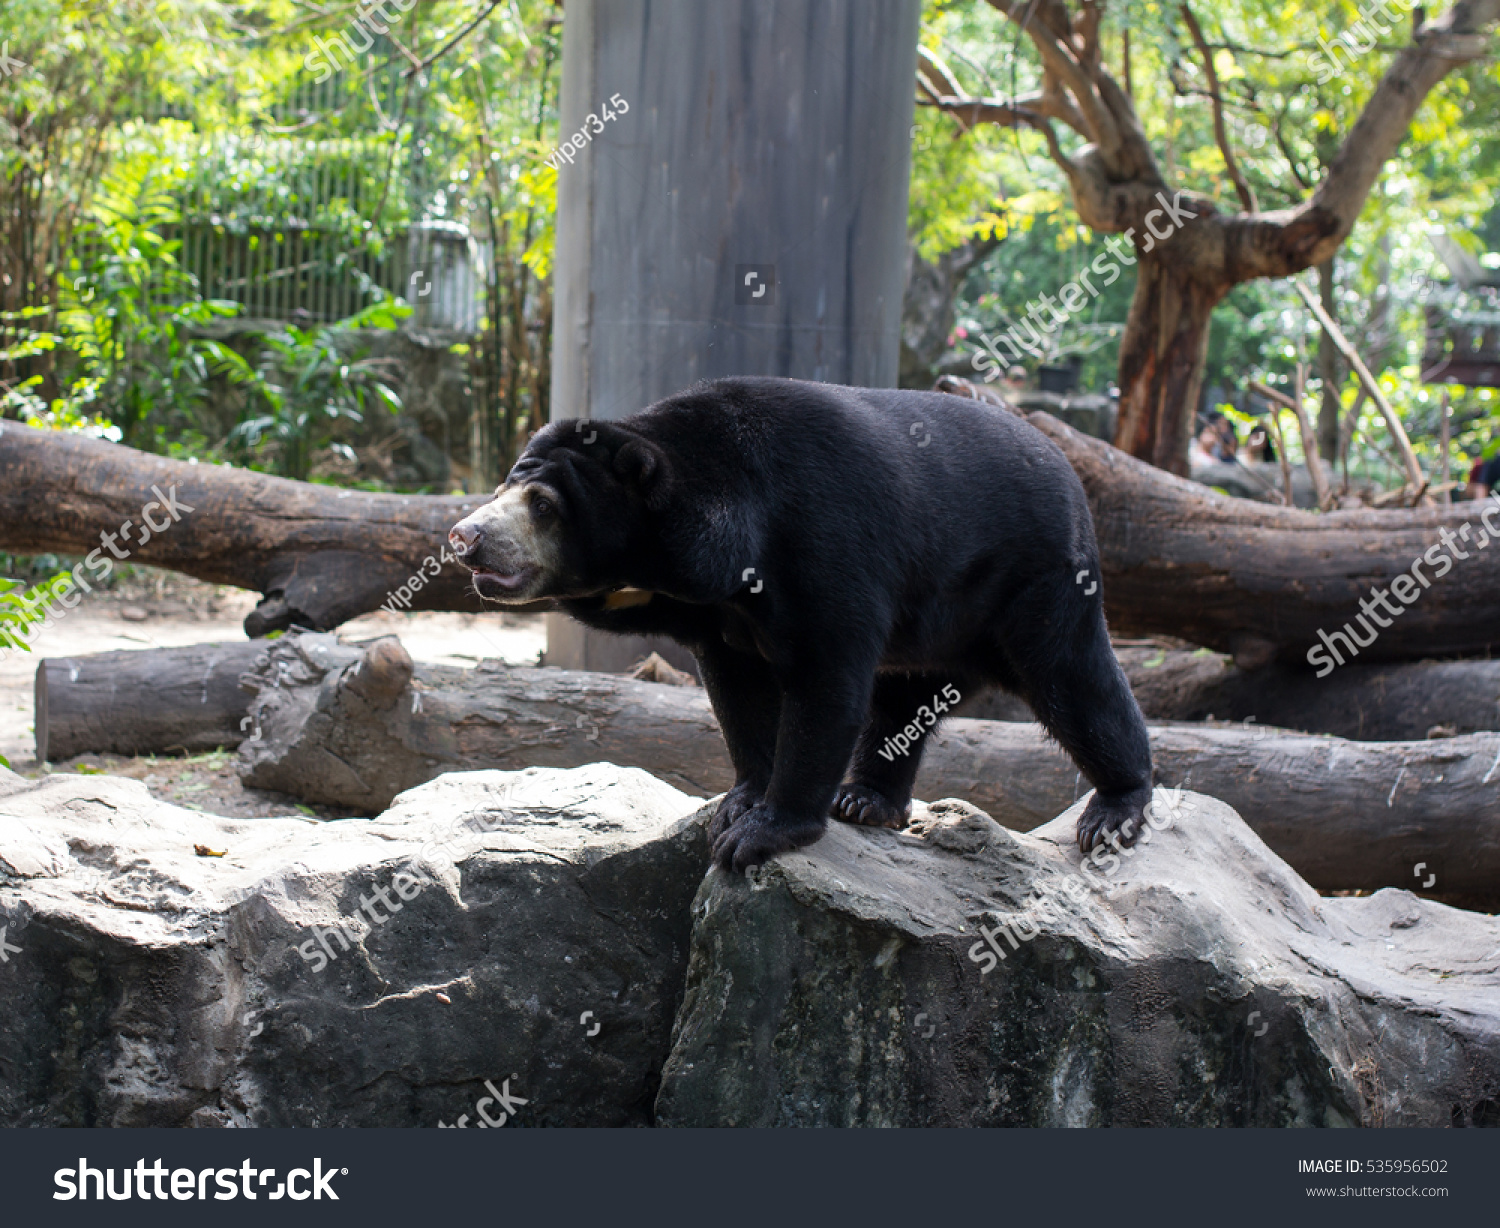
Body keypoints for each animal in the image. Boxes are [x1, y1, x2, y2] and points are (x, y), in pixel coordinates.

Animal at [448, 376, 1154, 873]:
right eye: (503, 488)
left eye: (543, 505)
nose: (464, 537)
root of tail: (1069, 467)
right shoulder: (716, 608)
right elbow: (739, 692)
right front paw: (740, 799)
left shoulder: (823, 545)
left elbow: (825, 684)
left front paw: (758, 835)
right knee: (907, 700)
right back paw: (867, 799)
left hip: (1029, 580)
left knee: (1074, 680)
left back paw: (1114, 810)